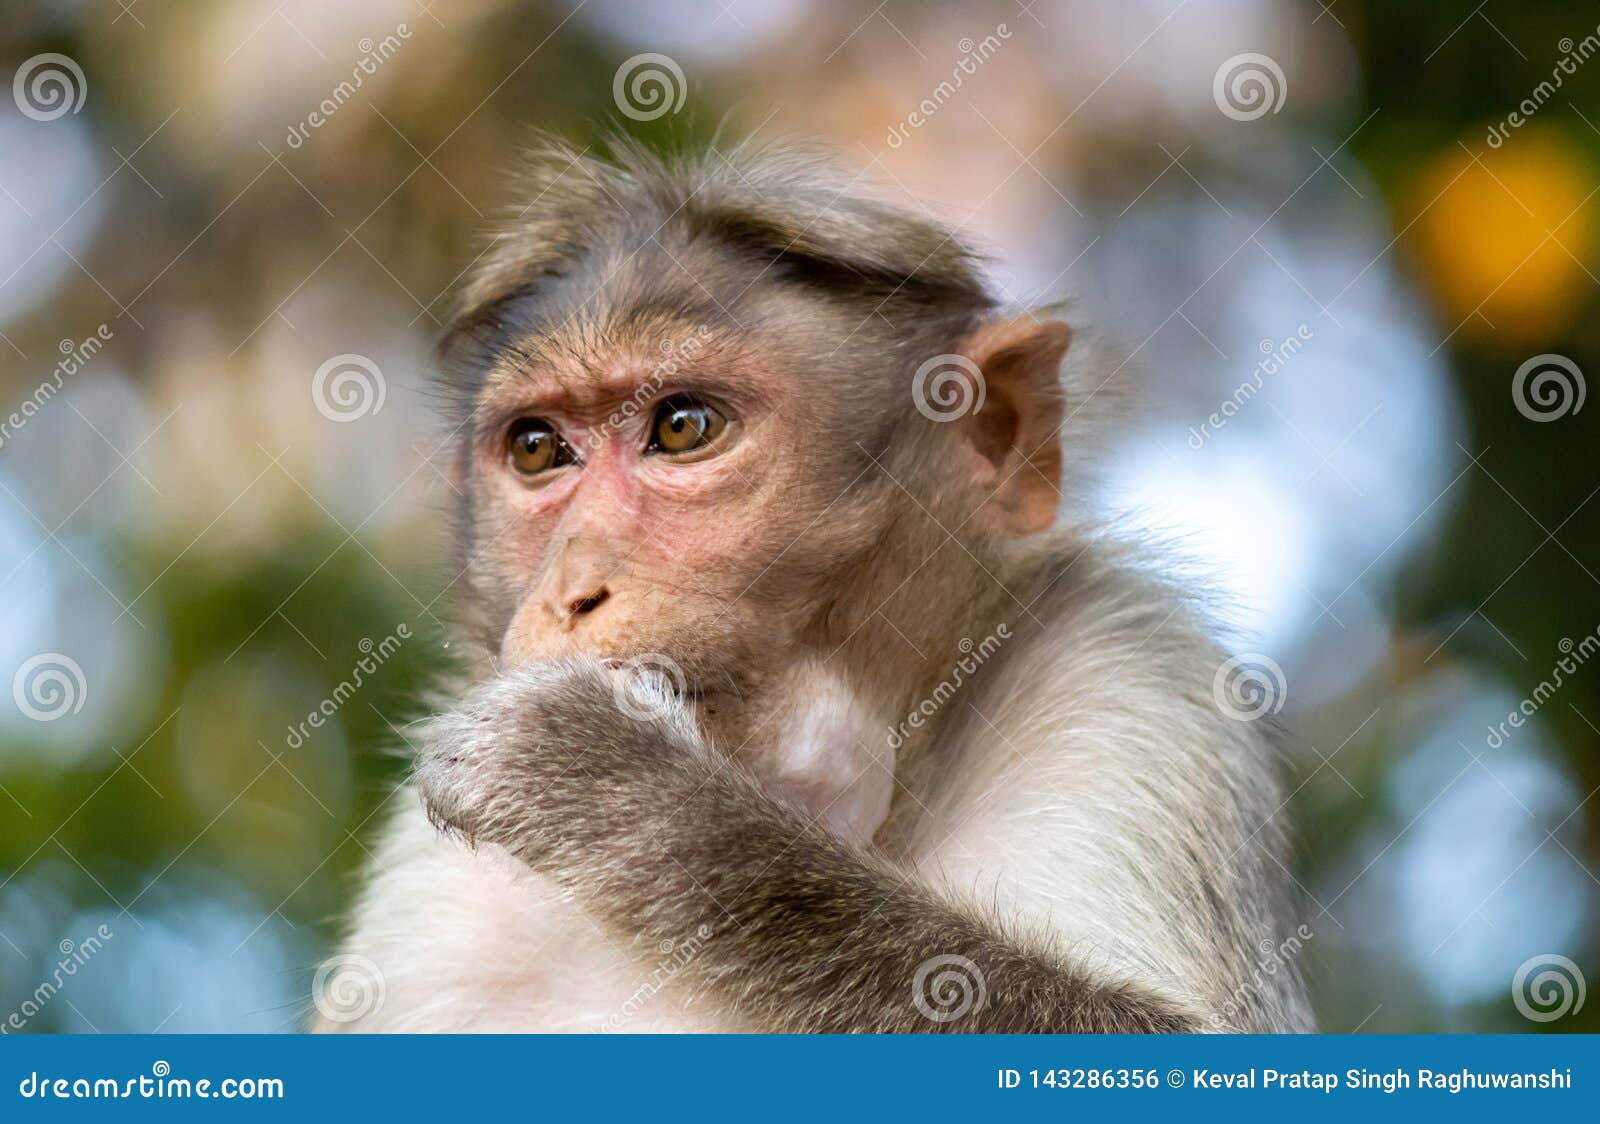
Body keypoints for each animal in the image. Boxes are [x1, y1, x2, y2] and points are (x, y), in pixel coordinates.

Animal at [314, 137, 1313, 1034]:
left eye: (682, 427)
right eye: (536, 449)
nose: (573, 593)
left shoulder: (1125, 670)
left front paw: (631, 794)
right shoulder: (428, 907)